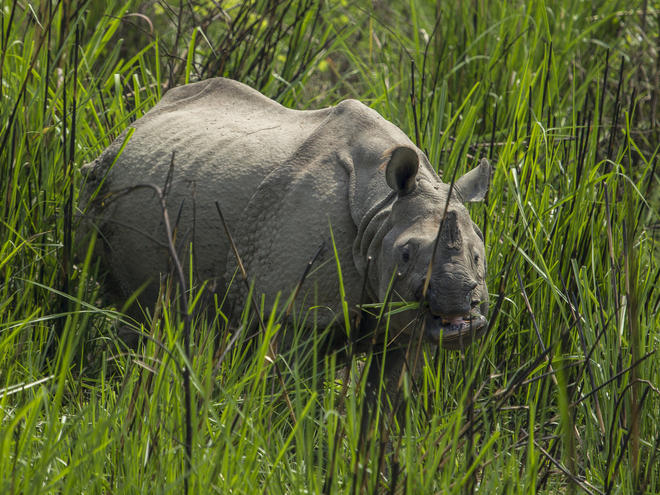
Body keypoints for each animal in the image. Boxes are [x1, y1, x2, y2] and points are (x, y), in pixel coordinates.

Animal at [79, 77, 491, 391]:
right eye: (405, 255)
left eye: (478, 257)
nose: (457, 304)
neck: (383, 209)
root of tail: (143, 117)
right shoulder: (297, 308)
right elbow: (293, 392)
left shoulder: (404, 322)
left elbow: (388, 394)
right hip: (103, 179)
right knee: (132, 304)